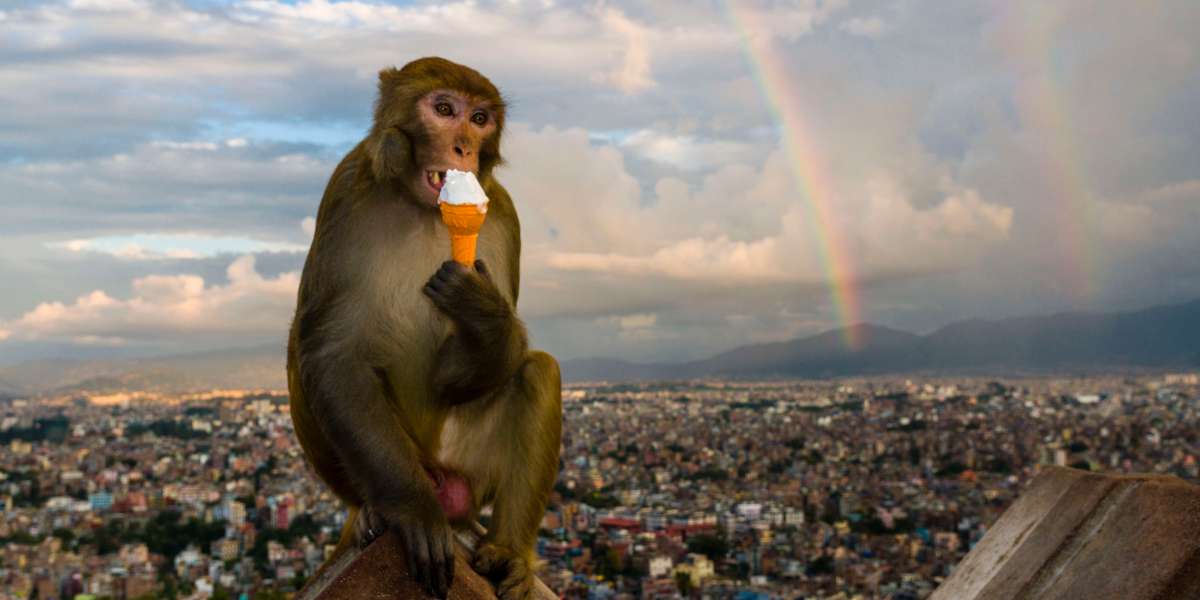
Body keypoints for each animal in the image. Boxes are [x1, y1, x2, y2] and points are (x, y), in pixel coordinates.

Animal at [286, 56, 562, 600]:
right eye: (443, 110)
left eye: (480, 118)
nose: (464, 147)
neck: (423, 207)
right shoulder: (348, 188)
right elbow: (333, 351)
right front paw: (412, 507)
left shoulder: (503, 214)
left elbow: (460, 377)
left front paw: (484, 312)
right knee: (301, 345)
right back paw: (376, 508)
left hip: (468, 467)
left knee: (537, 370)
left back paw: (509, 553)